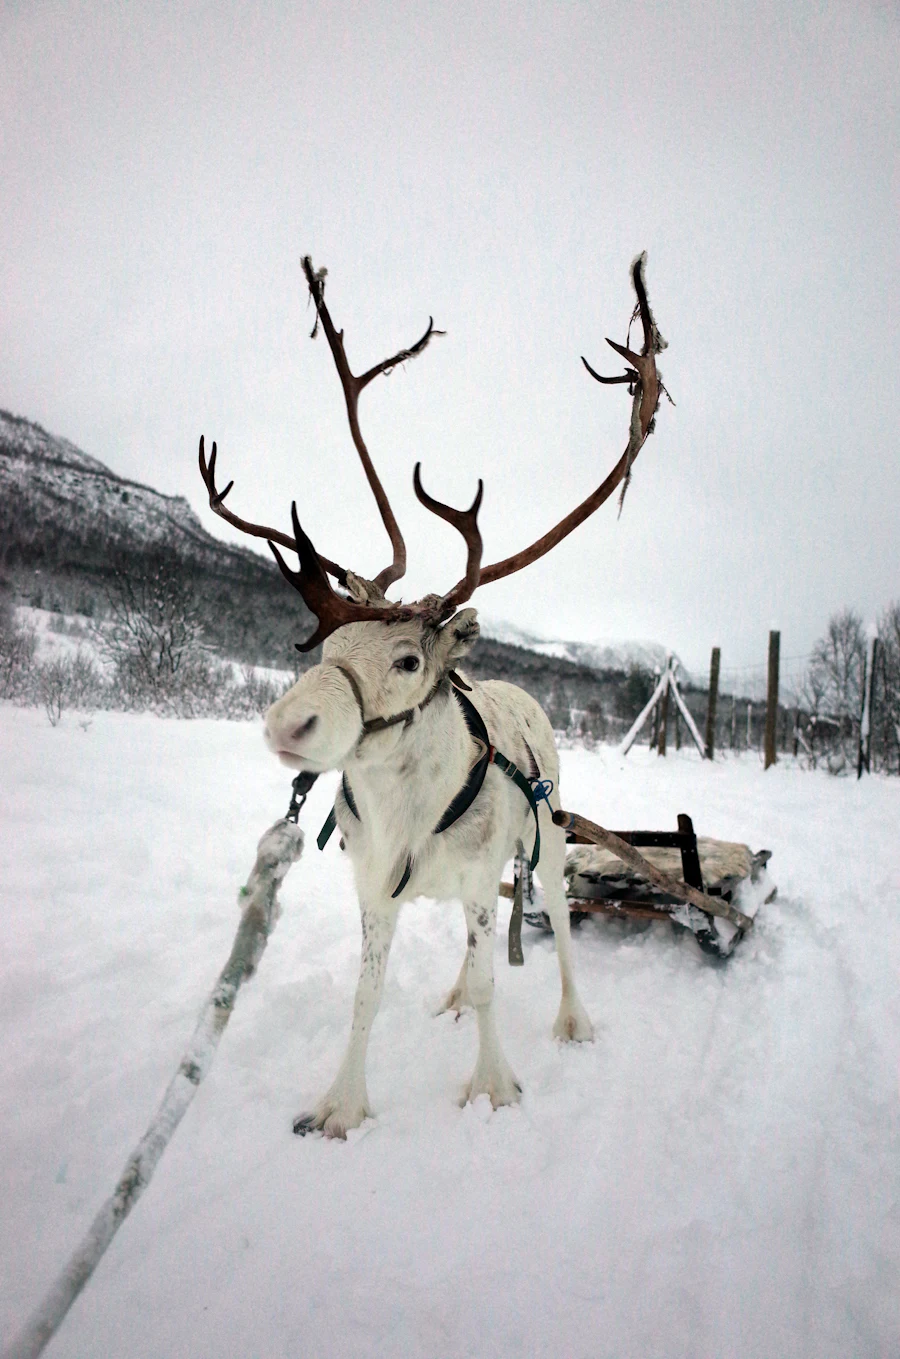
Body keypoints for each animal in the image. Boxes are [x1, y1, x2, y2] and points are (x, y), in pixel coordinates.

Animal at [199, 253, 667, 1138]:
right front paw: (341, 1105)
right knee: (472, 946)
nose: (288, 721)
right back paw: (451, 992)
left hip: (553, 840)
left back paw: (573, 1018)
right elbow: (367, 994)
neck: (404, 816)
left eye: (410, 657)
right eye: (326, 647)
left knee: (556, 923)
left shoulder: (491, 872)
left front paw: (495, 1085)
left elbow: (496, 980)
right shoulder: (375, 888)